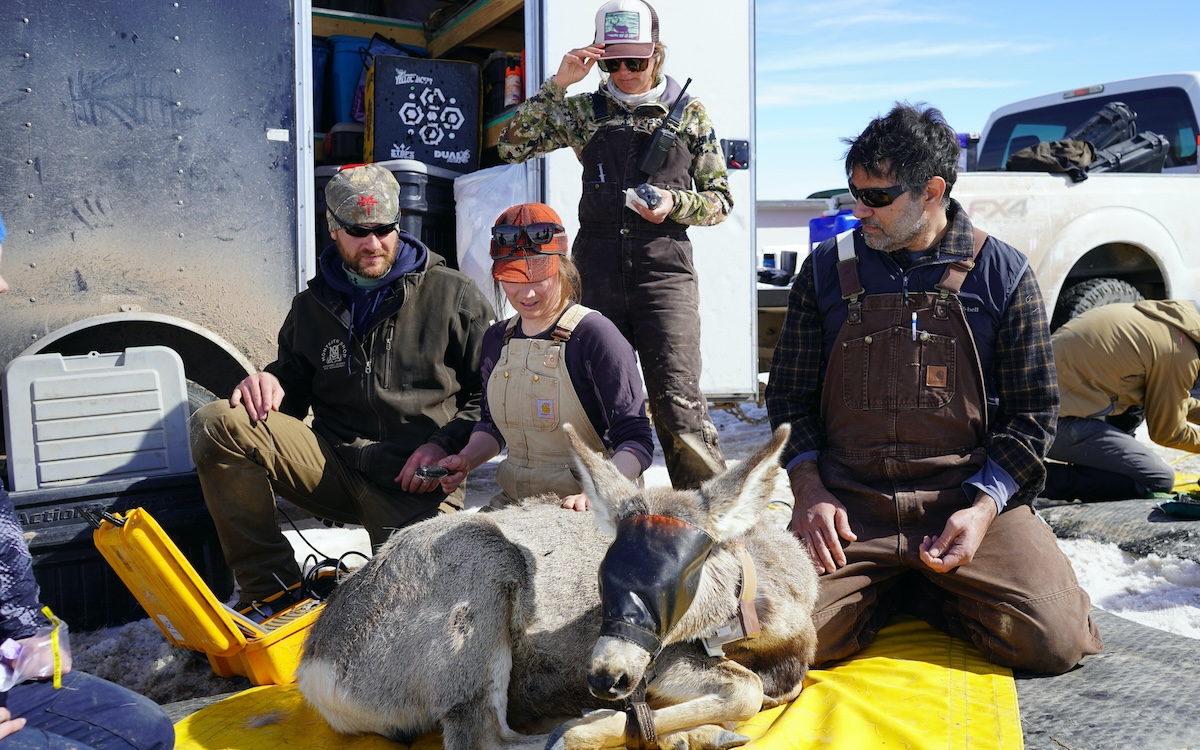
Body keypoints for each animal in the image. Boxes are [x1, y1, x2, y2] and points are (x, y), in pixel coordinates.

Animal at [296, 424, 818, 750]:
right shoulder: (663, 662)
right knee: (482, 739)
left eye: (681, 573)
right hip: (478, 595)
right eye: (603, 573)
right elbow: (748, 689)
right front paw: (589, 726)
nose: (604, 676)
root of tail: (315, 670)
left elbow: (770, 689)